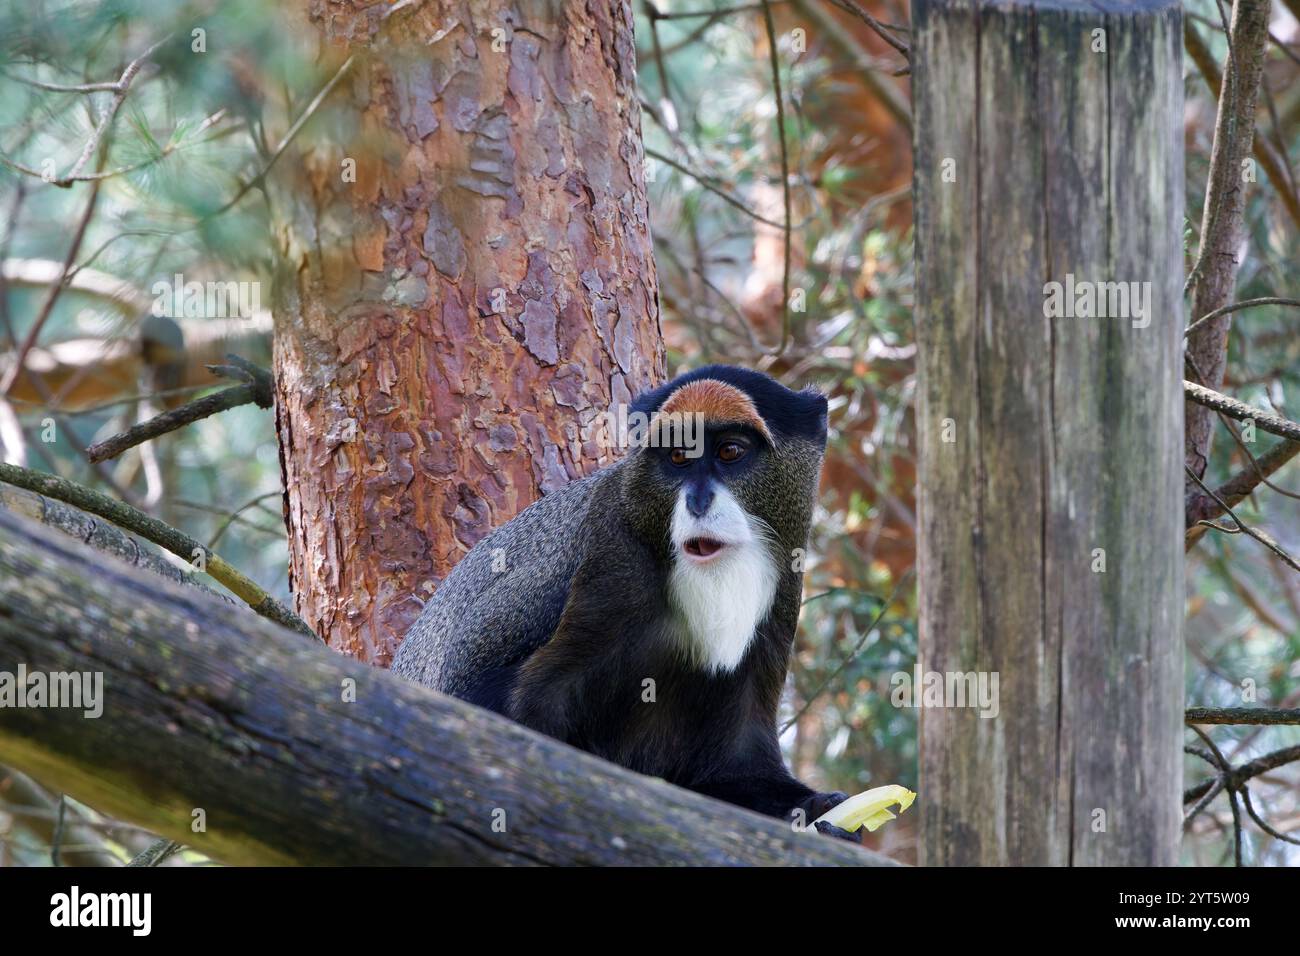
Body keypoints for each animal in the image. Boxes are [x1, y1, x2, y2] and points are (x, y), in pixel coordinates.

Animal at [392, 365, 858, 840]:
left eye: (730, 451)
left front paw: (822, 811)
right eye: (678, 458)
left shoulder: (784, 590)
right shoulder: (610, 562)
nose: (699, 501)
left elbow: (735, 764)